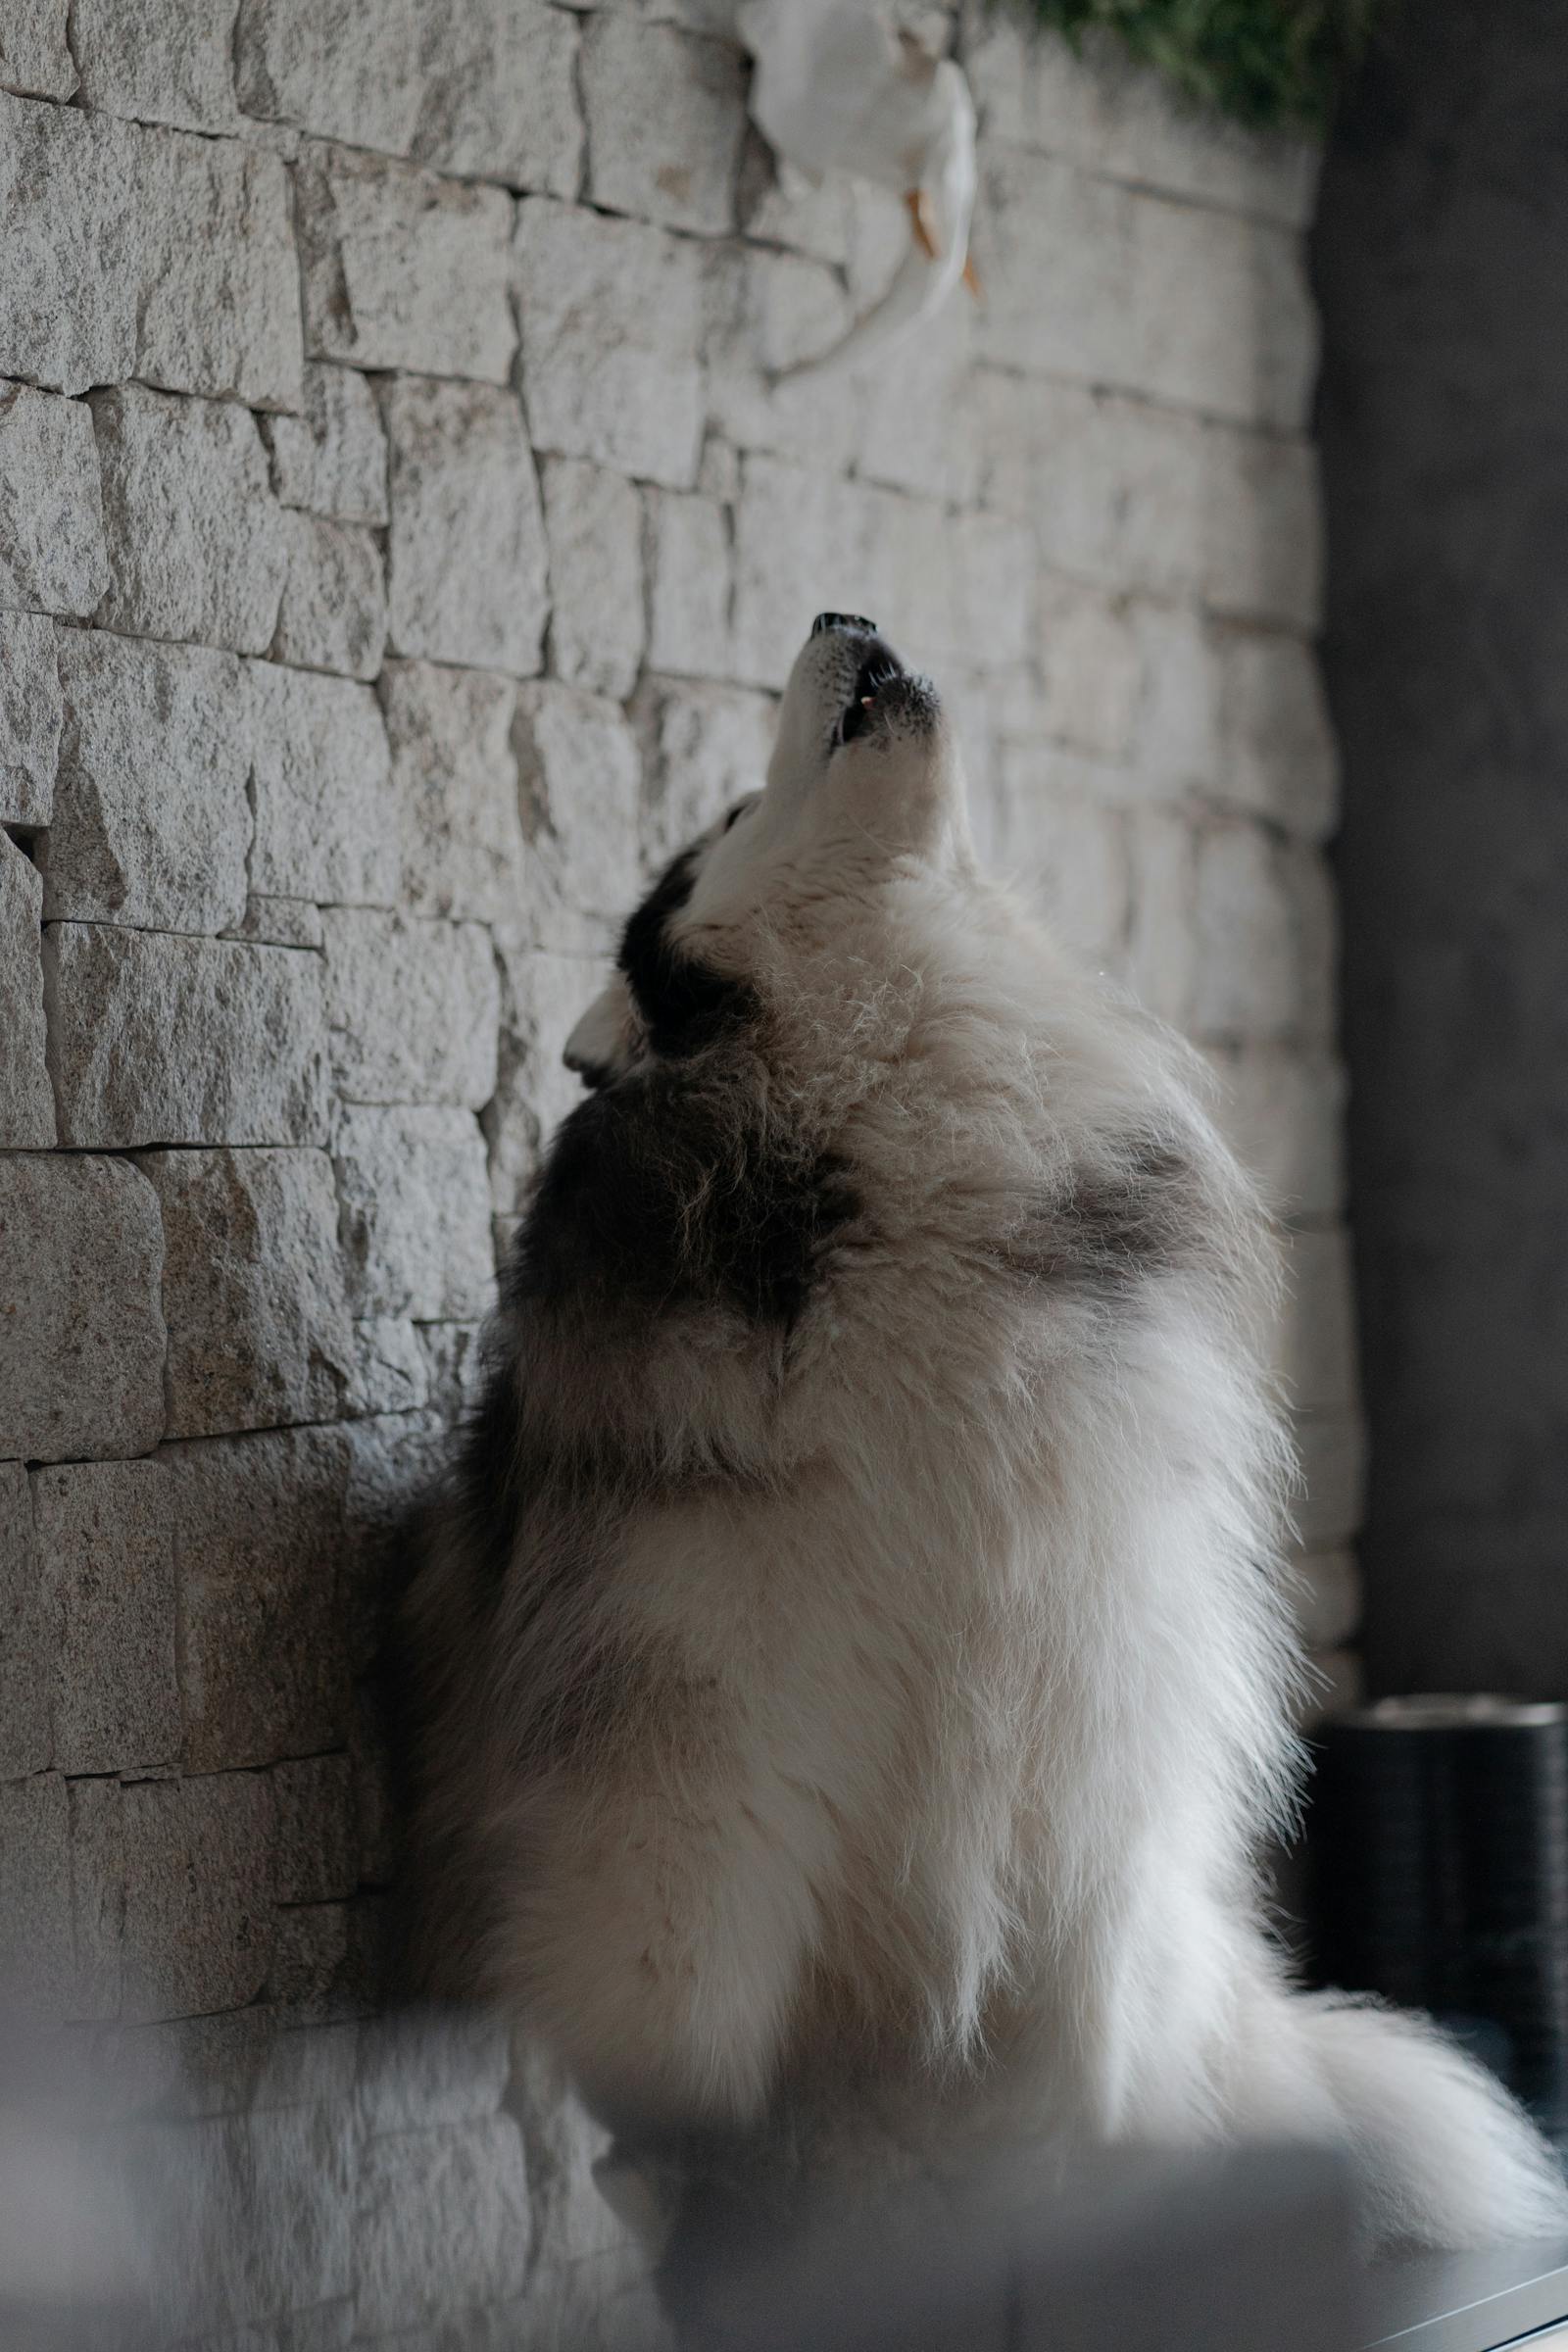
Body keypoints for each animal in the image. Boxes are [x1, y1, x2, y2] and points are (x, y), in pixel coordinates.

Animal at [402, 614, 1567, 2256]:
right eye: (723, 816)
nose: (842, 614)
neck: (896, 1085)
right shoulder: (691, 1729)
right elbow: (686, 2043)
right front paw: (695, 2185)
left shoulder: (1087, 1696)